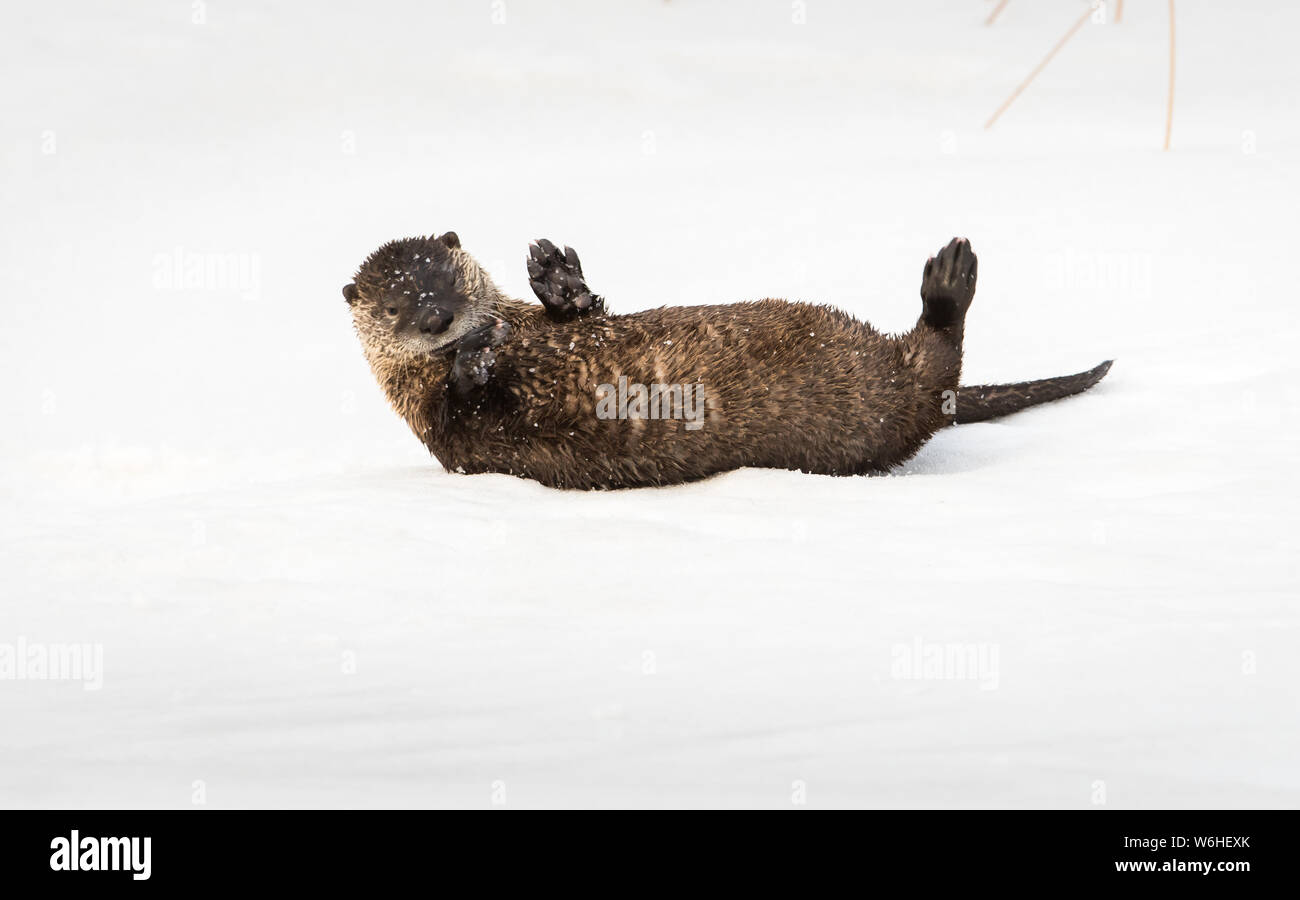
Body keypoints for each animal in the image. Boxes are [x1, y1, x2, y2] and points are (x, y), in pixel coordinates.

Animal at [342, 232, 1111, 489]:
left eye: (445, 278)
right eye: (394, 307)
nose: (439, 319)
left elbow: (586, 312)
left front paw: (556, 274)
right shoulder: (442, 433)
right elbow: (465, 421)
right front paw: (471, 363)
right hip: (880, 405)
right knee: (937, 363)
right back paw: (948, 283)